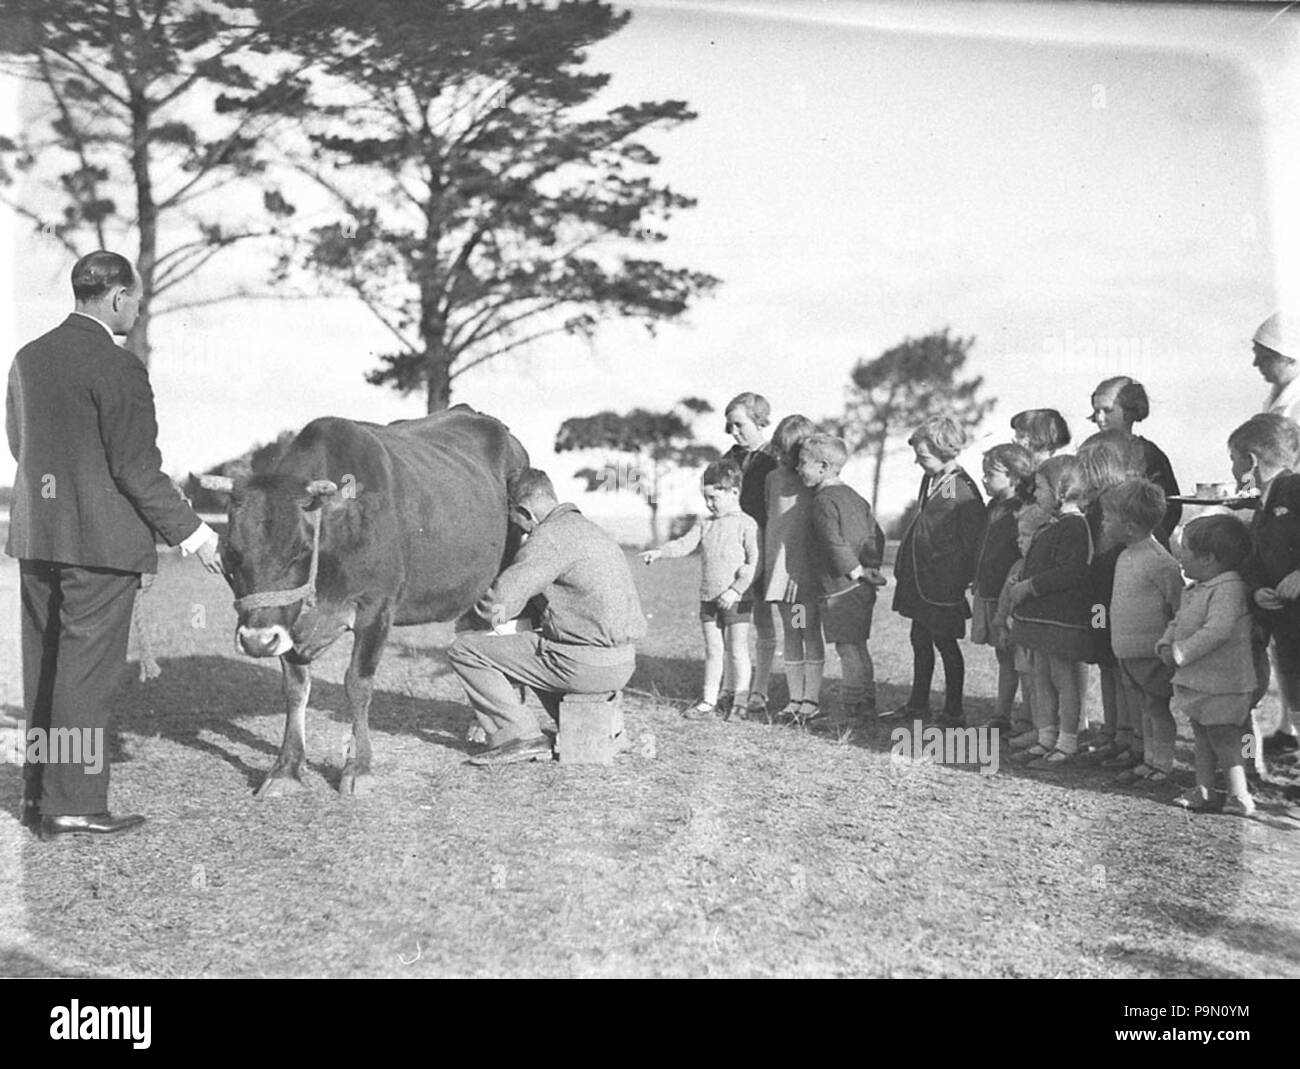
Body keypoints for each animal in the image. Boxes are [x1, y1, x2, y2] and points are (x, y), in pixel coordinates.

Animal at [198, 405, 529, 798]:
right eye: (232, 552)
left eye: (300, 550)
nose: (256, 641)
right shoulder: (288, 624)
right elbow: (295, 688)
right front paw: (286, 768)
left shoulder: (376, 608)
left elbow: (357, 684)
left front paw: (360, 767)